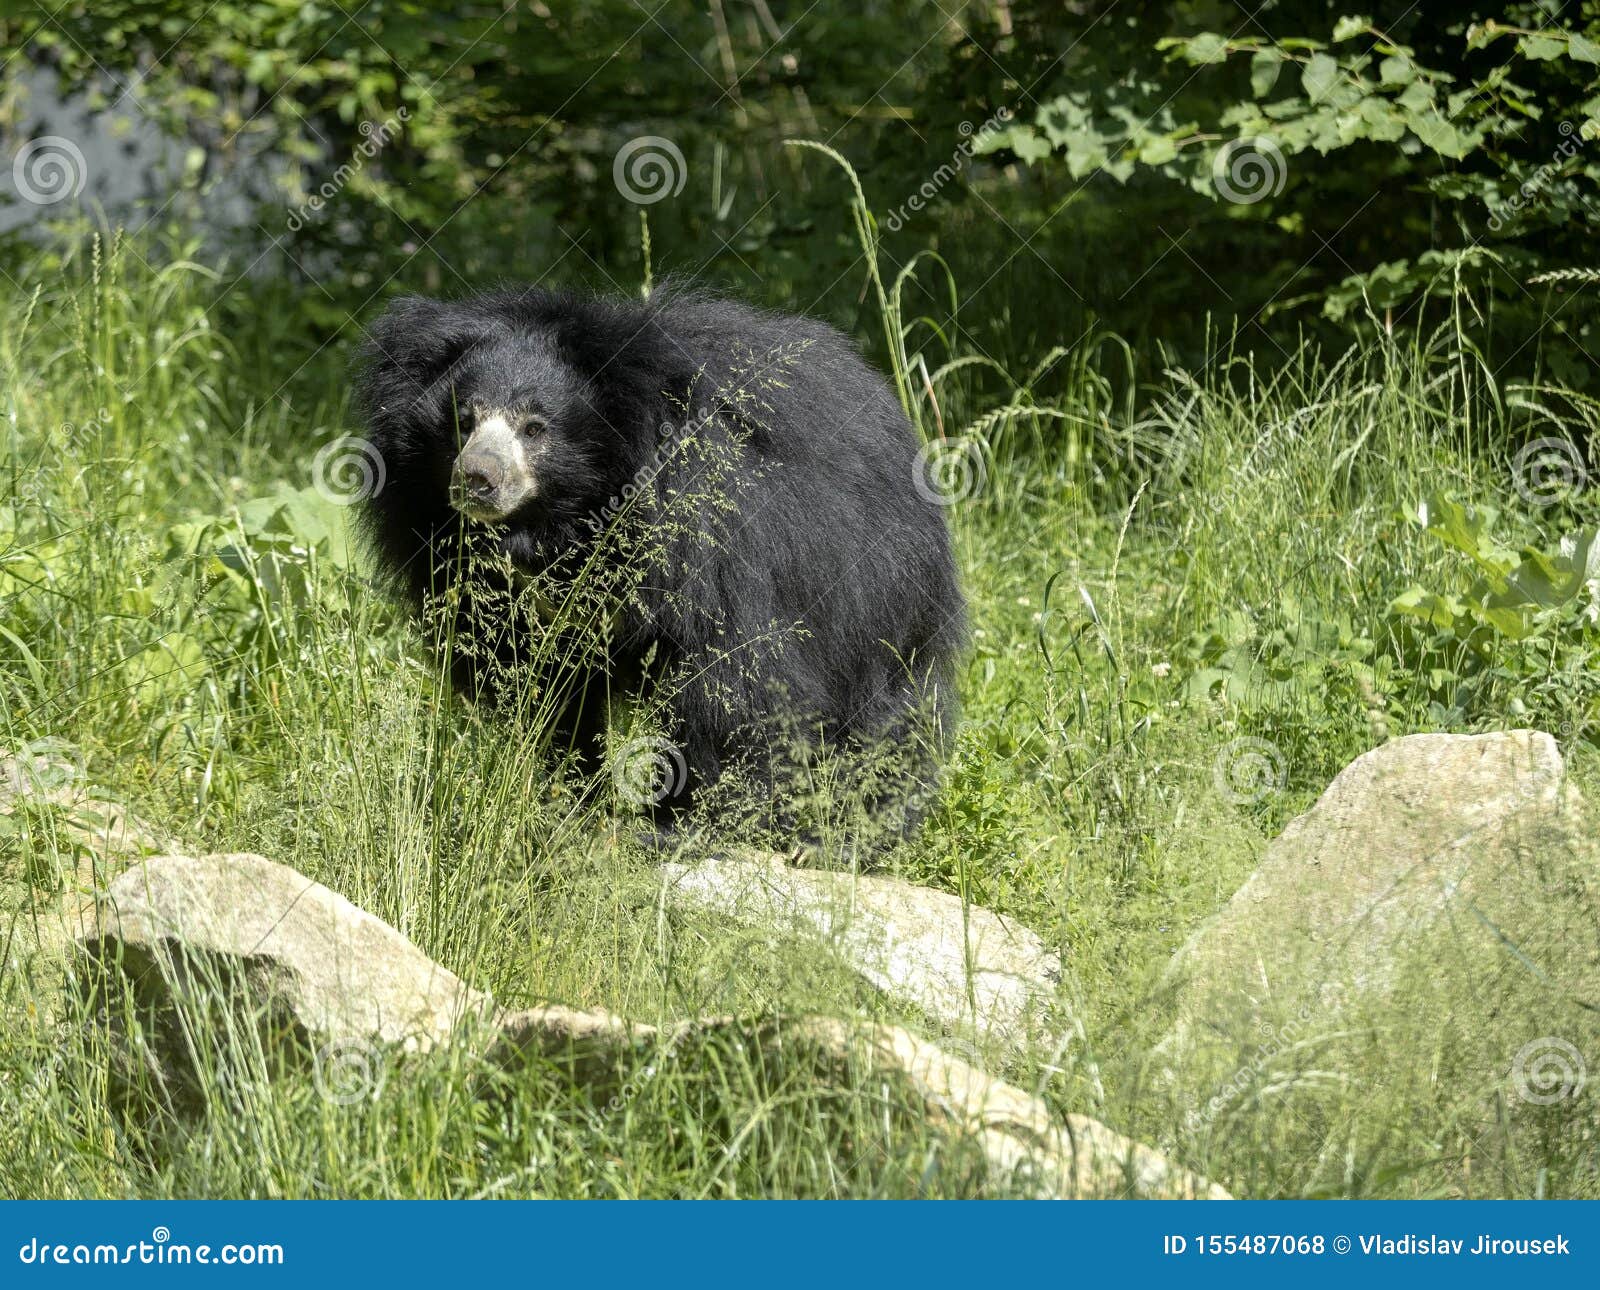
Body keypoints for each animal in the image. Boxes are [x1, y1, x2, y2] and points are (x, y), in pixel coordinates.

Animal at [352, 285, 967, 851]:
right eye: (464, 419)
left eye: (535, 427)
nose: (476, 479)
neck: (571, 516)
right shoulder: (467, 566)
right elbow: (535, 679)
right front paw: (570, 798)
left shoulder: (709, 535)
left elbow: (728, 677)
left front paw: (677, 824)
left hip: (883, 592)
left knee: (887, 712)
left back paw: (852, 832)